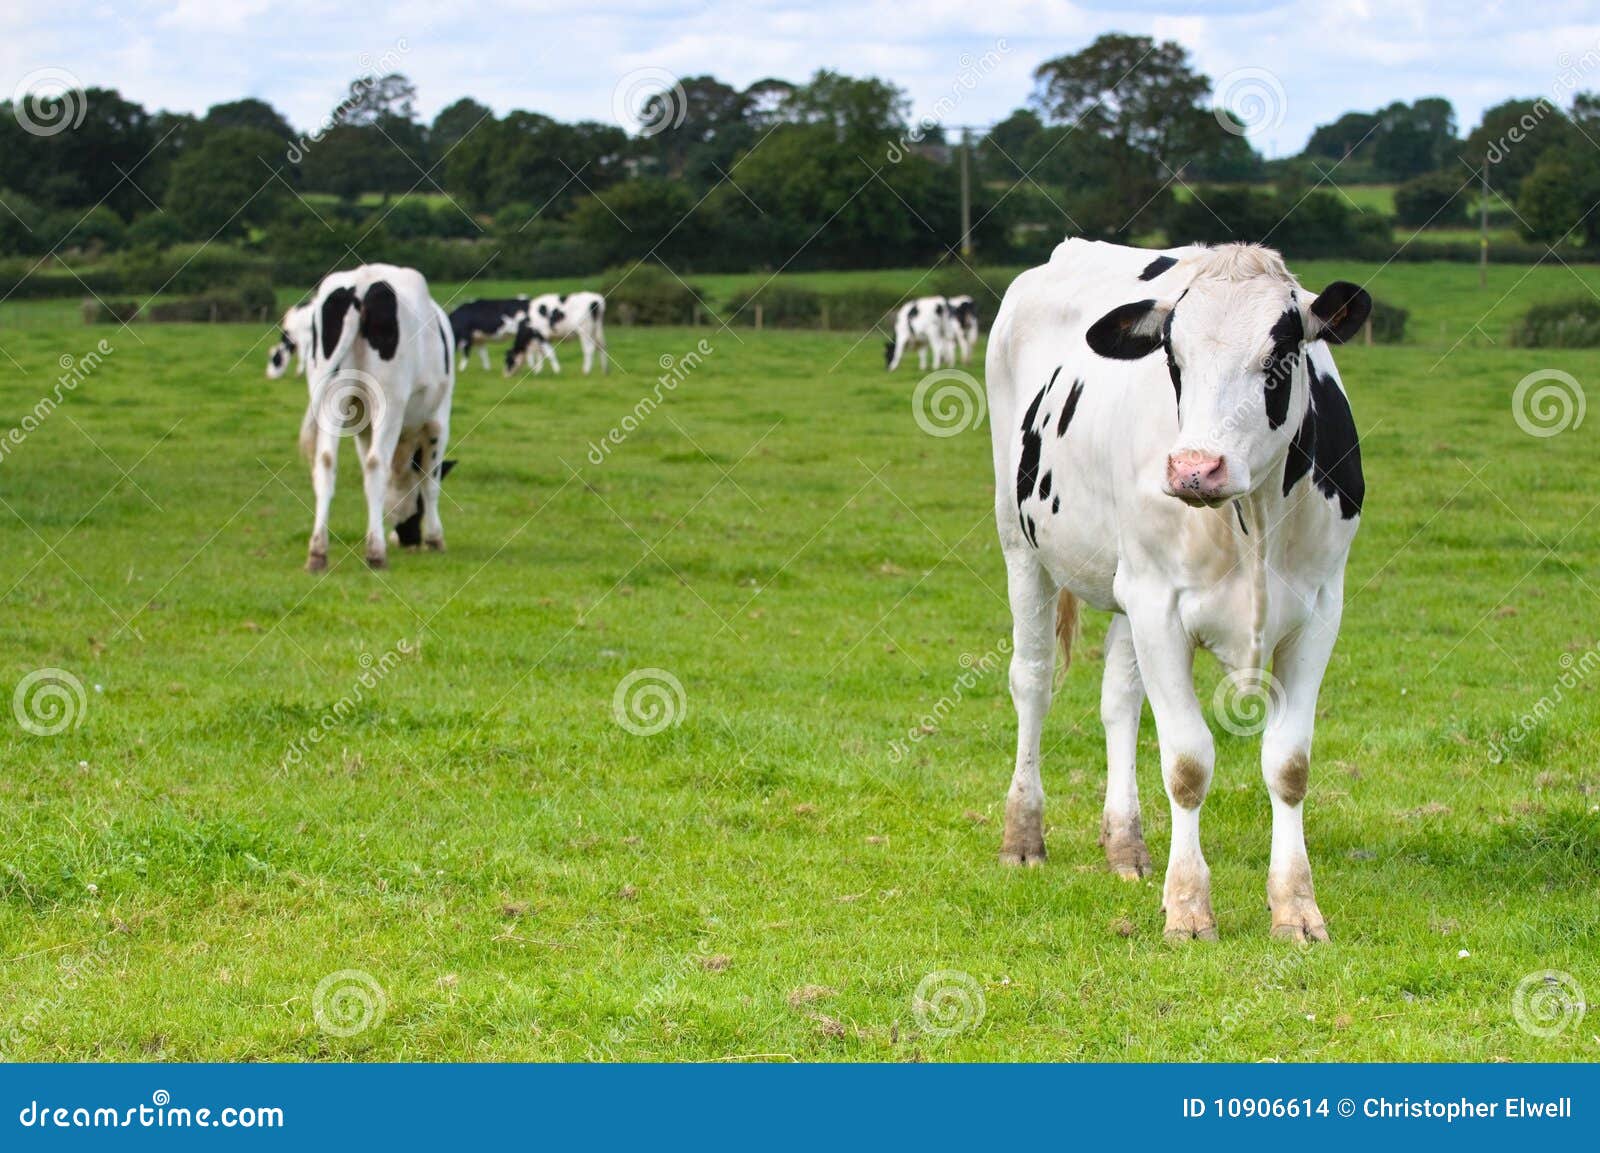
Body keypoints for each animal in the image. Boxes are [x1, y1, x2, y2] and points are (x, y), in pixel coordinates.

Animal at [300, 263, 456, 572]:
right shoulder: (438, 421)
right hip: (389, 400)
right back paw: (376, 553)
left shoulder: (364, 428)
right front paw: (435, 538)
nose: (409, 538)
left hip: (330, 395)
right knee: (376, 465)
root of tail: (360, 285)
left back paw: (318, 552)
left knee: (326, 462)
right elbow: (430, 482)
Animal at [985, 239, 1370, 943]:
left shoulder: (1320, 610)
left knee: (1119, 701)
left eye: (1281, 355)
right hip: (1022, 542)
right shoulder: (1159, 606)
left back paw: (1126, 847)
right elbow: (1188, 763)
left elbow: (1289, 765)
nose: (1195, 468)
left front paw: (1297, 908)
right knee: (1032, 682)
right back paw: (1023, 837)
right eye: (1173, 357)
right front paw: (1189, 907)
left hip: (1124, 586)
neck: (1252, 518)